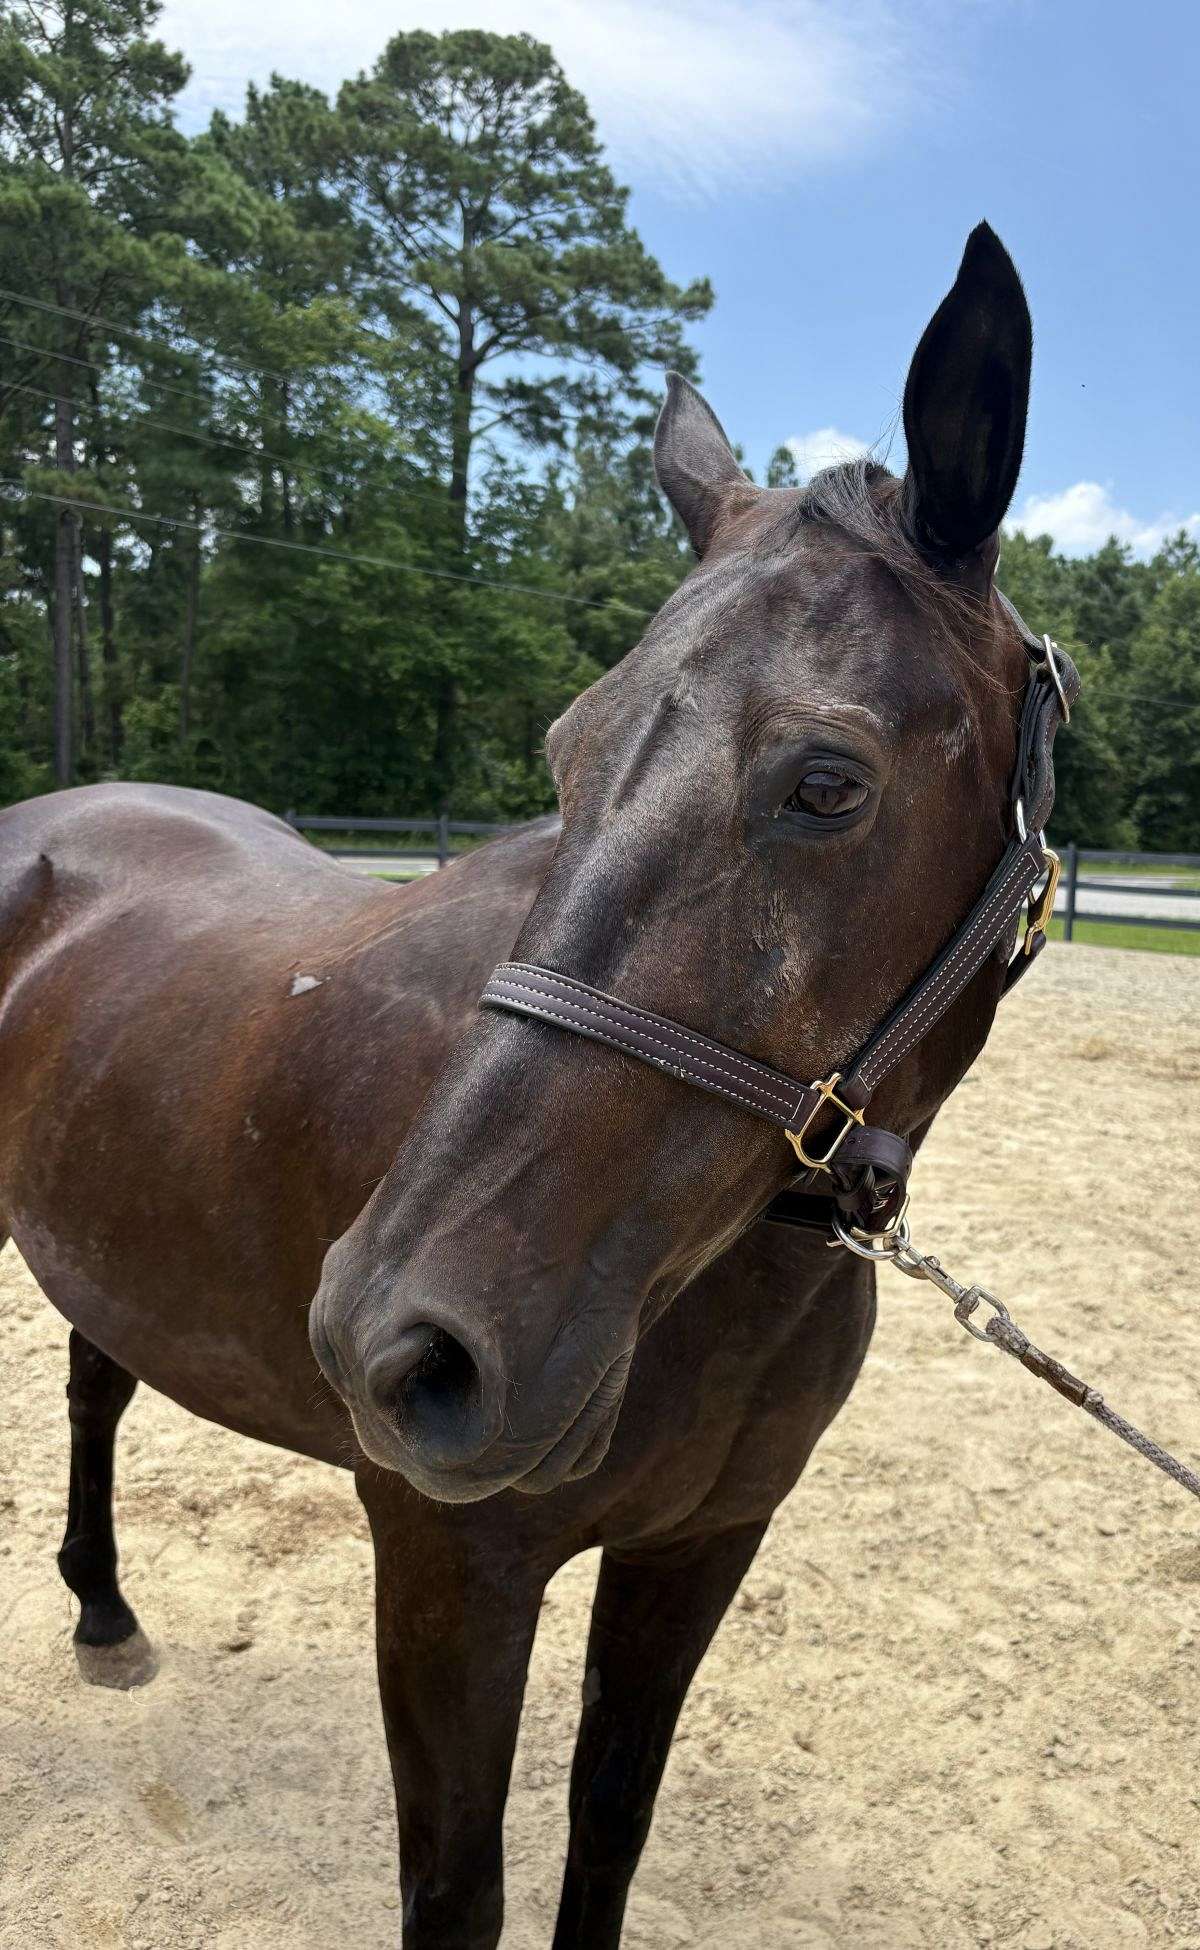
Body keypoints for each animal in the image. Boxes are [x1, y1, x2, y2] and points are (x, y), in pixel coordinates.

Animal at [2, 223, 1047, 1947]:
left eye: (827, 782)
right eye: (567, 751)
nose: (397, 1344)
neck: (714, 1288)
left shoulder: (702, 1545)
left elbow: (607, 1830)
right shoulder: (449, 1571)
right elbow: (459, 1892)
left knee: (98, 1378)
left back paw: (103, 1605)